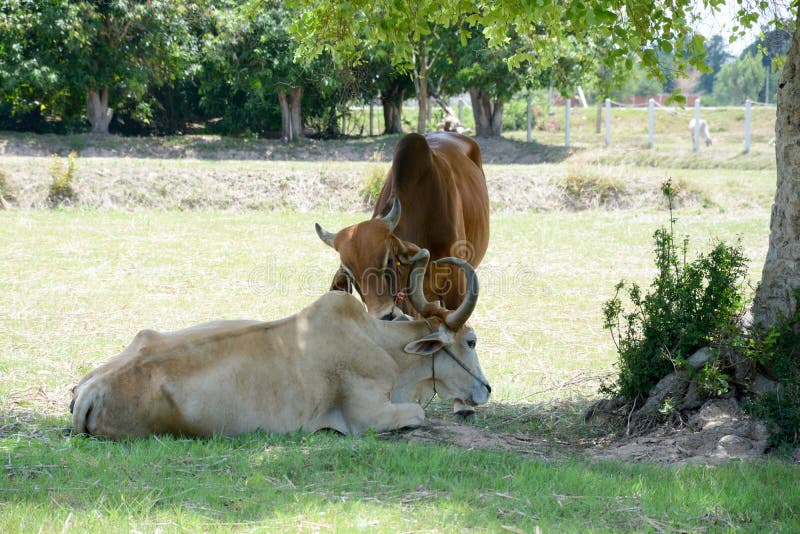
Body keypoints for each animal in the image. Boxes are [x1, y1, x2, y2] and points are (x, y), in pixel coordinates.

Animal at [69, 252, 490, 439]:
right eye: (471, 340)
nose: (486, 389)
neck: (382, 346)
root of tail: (90, 391)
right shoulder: (367, 418)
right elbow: (418, 415)